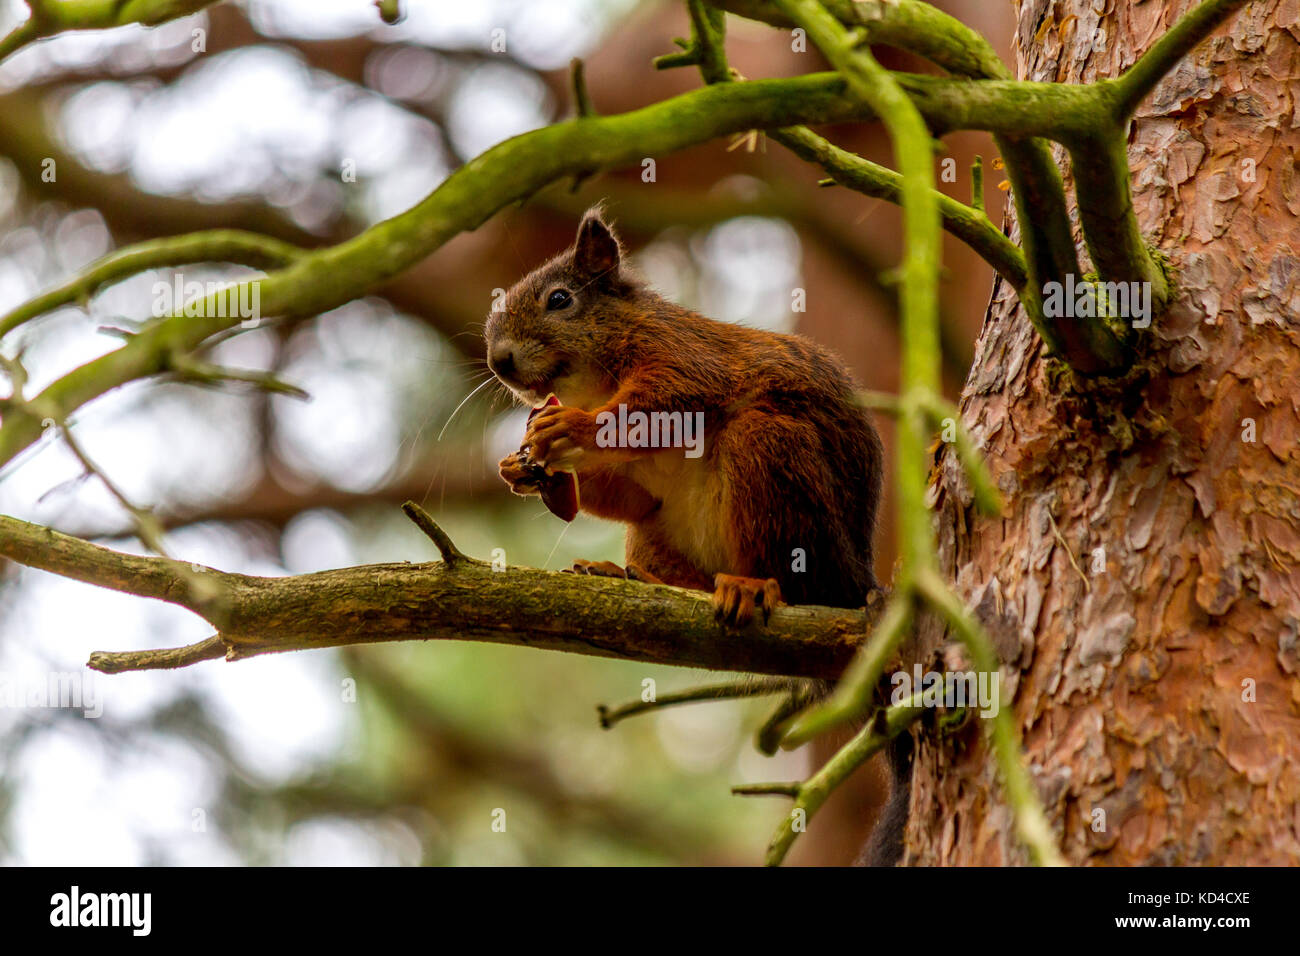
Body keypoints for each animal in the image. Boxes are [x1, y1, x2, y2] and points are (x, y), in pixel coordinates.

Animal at [485, 206, 906, 863]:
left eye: (560, 300)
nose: (498, 361)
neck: (594, 379)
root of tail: (853, 581)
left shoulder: (683, 357)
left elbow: (657, 404)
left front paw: (570, 427)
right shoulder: (639, 489)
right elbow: (627, 494)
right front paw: (529, 472)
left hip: (771, 456)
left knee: (786, 567)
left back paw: (752, 587)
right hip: (655, 534)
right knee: (661, 553)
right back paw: (631, 574)